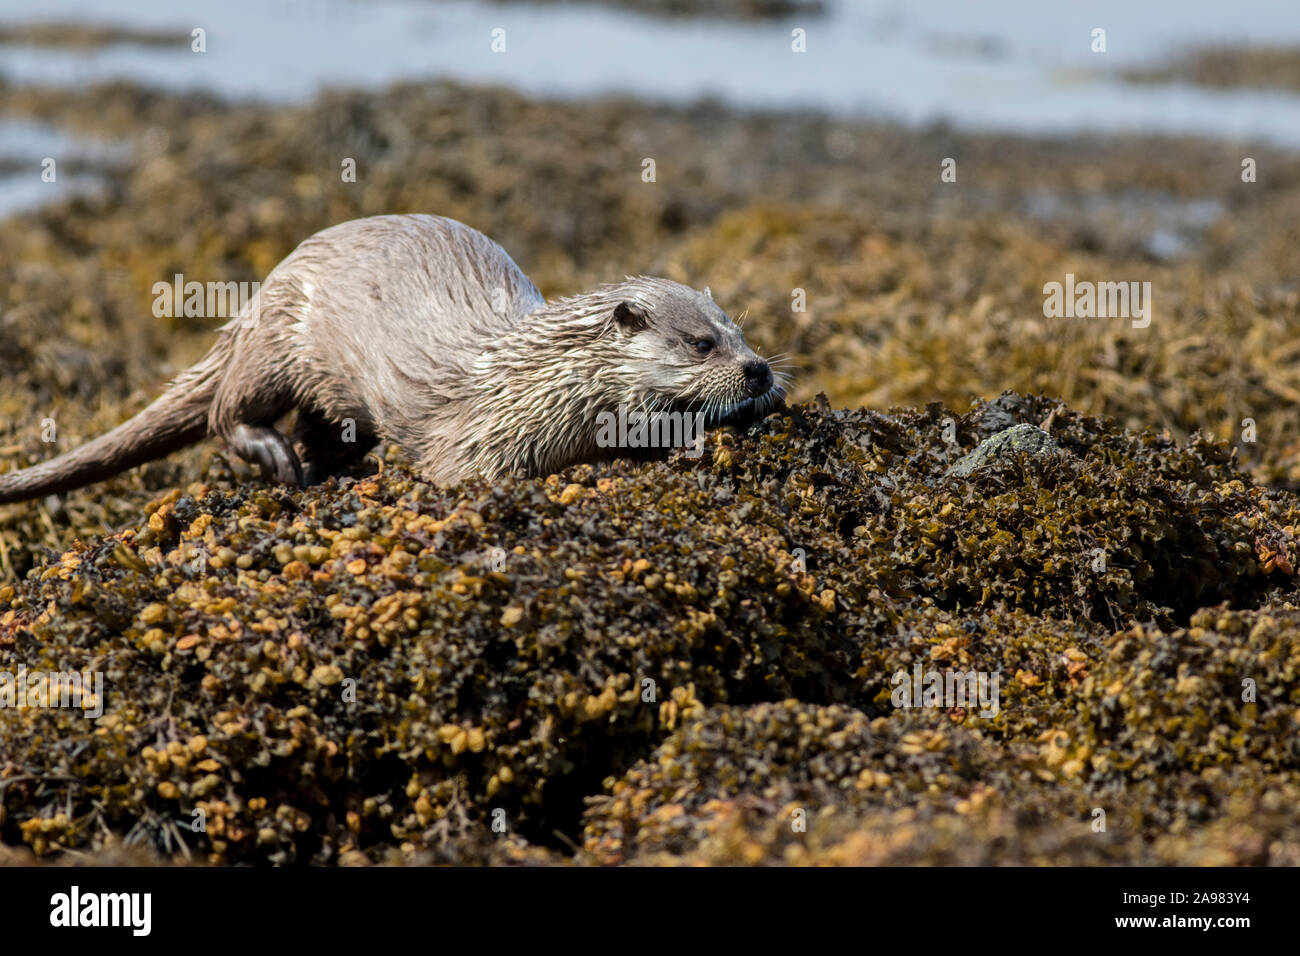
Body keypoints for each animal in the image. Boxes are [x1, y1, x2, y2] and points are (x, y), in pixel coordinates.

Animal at [0, 214, 786, 504]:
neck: (529, 383)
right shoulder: (476, 446)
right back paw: (278, 458)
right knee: (229, 408)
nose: (759, 370)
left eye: (741, 331)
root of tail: (270, 281)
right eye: (702, 342)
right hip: (279, 340)